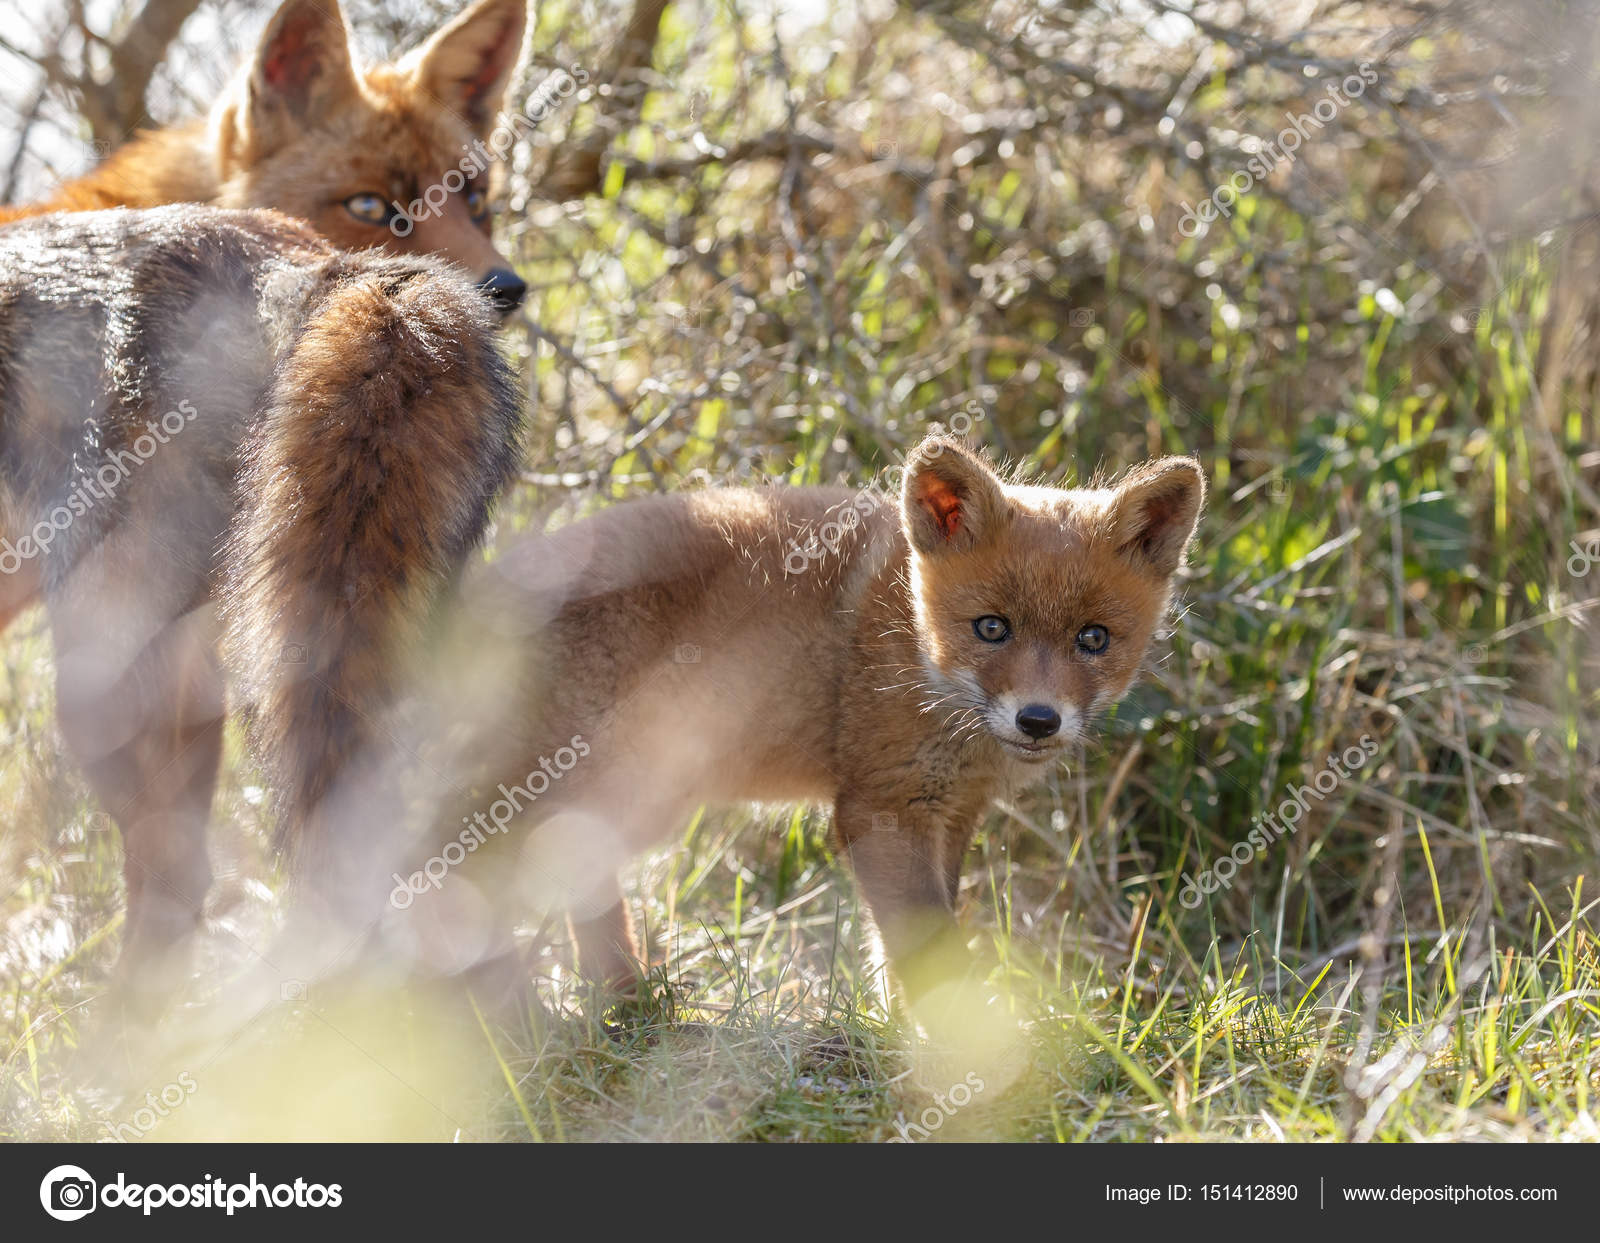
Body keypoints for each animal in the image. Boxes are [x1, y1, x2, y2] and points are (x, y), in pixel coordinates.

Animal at [396, 434, 1204, 1005]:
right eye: (992, 628)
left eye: (1093, 639)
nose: (1039, 720)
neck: (915, 645)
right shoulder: (882, 806)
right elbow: (928, 949)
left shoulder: (950, 813)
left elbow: (914, 944)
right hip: (589, 789)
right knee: (446, 870)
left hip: (627, 798)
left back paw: (623, 1003)